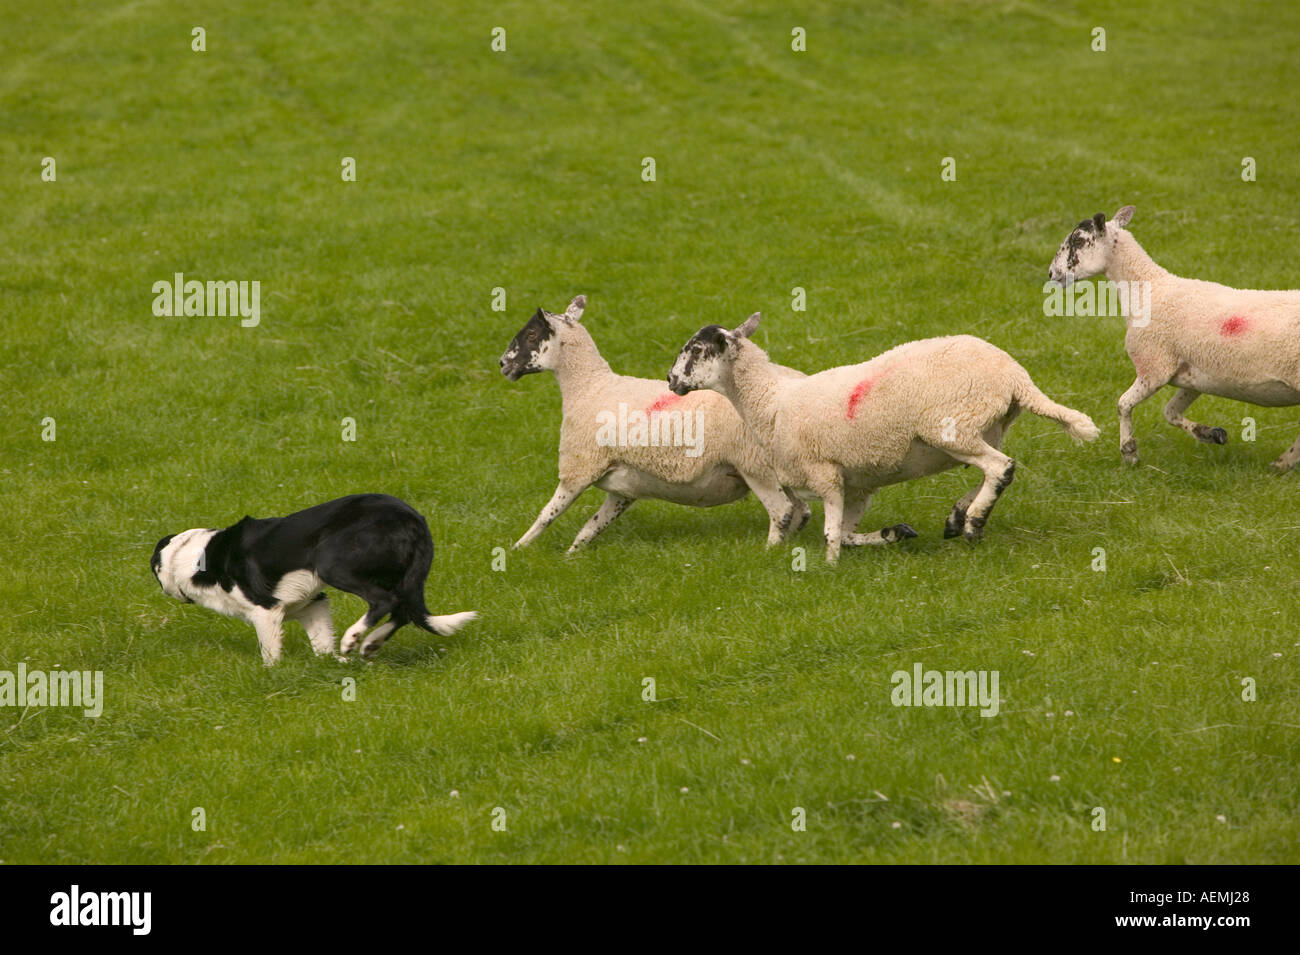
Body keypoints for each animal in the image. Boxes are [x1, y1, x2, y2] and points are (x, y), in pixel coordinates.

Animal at [499, 295, 811, 553]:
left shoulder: (579, 468)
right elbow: (591, 528)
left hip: (754, 464)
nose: (502, 364)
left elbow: (547, 514)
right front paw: (570, 557)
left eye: (531, 334)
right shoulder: (622, 487)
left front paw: (518, 550)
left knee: (782, 510)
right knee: (801, 511)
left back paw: (769, 552)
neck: (589, 387)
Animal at [666, 314, 1099, 564]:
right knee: (996, 468)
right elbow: (847, 533)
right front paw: (894, 534)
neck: (770, 401)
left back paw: (973, 523)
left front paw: (829, 569)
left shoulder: (825, 475)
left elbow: (831, 533)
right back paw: (957, 516)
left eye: (696, 350)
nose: (671, 380)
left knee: (999, 467)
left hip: (953, 427)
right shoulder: (858, 484)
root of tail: (1015, 376)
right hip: (983, 429)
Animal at [1048, 205, 1300, 469]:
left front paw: (1129, 452)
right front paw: (1211, 433)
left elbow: (1123, 404)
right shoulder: (1193, 375)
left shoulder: (1155, 368)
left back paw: (1283, 462)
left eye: (1078, 240)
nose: (1051, 273)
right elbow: (1170, 413)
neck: (1148, 289)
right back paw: (1282, 464)